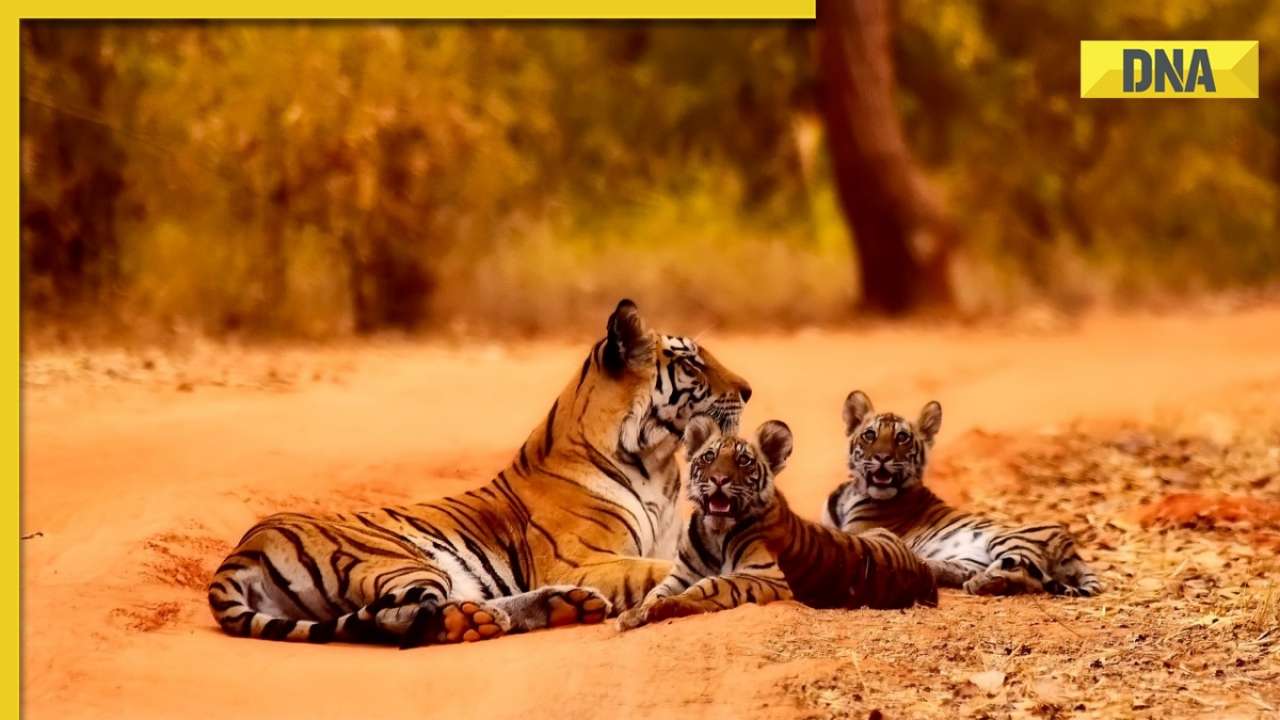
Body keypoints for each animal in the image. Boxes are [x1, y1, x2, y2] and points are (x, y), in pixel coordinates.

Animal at [207, 299, 753, 647]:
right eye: (692, 364)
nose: (748, 390)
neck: (659, 463)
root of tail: (242, 550)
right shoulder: (583, 559)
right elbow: (658, 571)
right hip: (400, 560)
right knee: (397, 618)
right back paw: (481, 621)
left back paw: (562, 608)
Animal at [618, 415, 937, 630]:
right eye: (709, 456)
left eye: (744, 461)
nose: (719, 479)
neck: (715, 532)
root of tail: (921, 567)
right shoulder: (681, 574)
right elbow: (656, 591)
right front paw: (635, 613)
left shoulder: (766, 575)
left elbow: (711, 584)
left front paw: (663, 607)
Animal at [822, 390, 1103, 597]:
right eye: (870, 435)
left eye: (902, 437)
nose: (882, 457)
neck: (853, 491)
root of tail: (1073, 549)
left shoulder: (859, 532)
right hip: (970, 558)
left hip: (1008, 540)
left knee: (1026, 576)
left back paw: (983, 583)